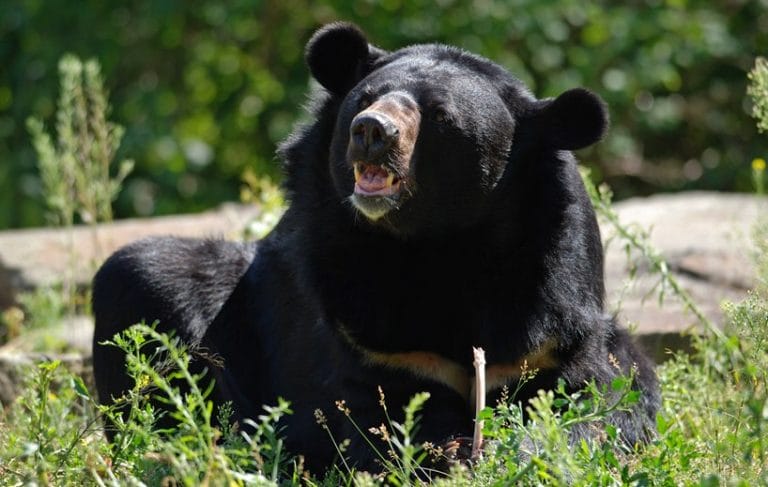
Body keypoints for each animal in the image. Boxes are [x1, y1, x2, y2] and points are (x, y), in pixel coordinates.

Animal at [92, 22, 660, 474]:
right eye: (367, 100)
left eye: (440, 116)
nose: (371, 132)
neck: (436, 246)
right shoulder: (358, 325)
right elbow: (366, 415)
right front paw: (449, 455)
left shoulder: (551, 311)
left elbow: (599, 398)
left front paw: (518, 452)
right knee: (141, 275)